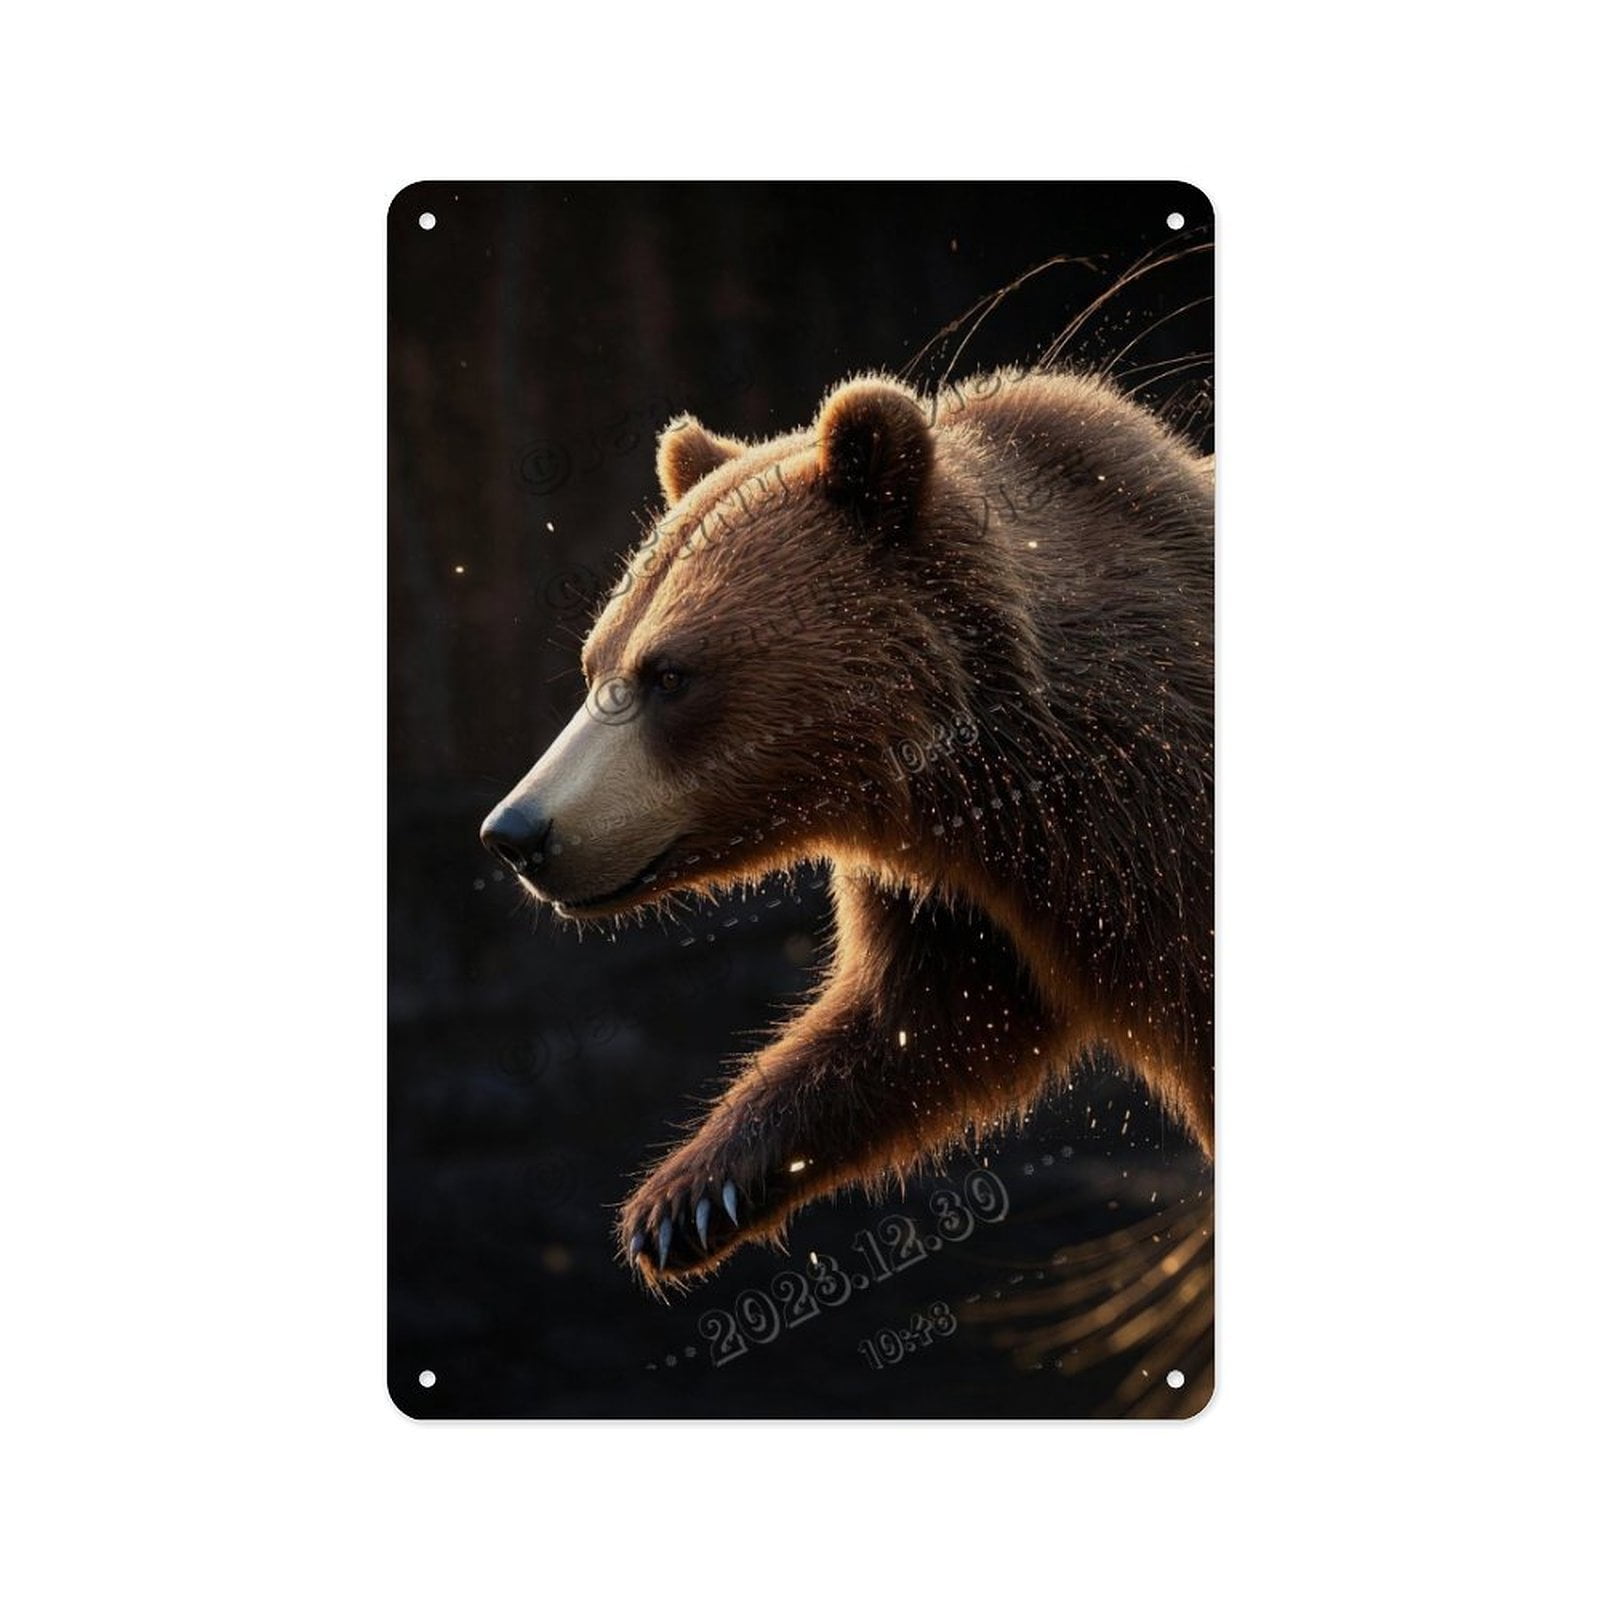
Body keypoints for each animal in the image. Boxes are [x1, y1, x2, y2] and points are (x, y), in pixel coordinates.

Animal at [480, 367, 1213, 1290]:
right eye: (593, 667)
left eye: (669, 675)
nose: (516, 831)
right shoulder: (957, 896)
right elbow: (923, 1024)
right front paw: (686, 1201)